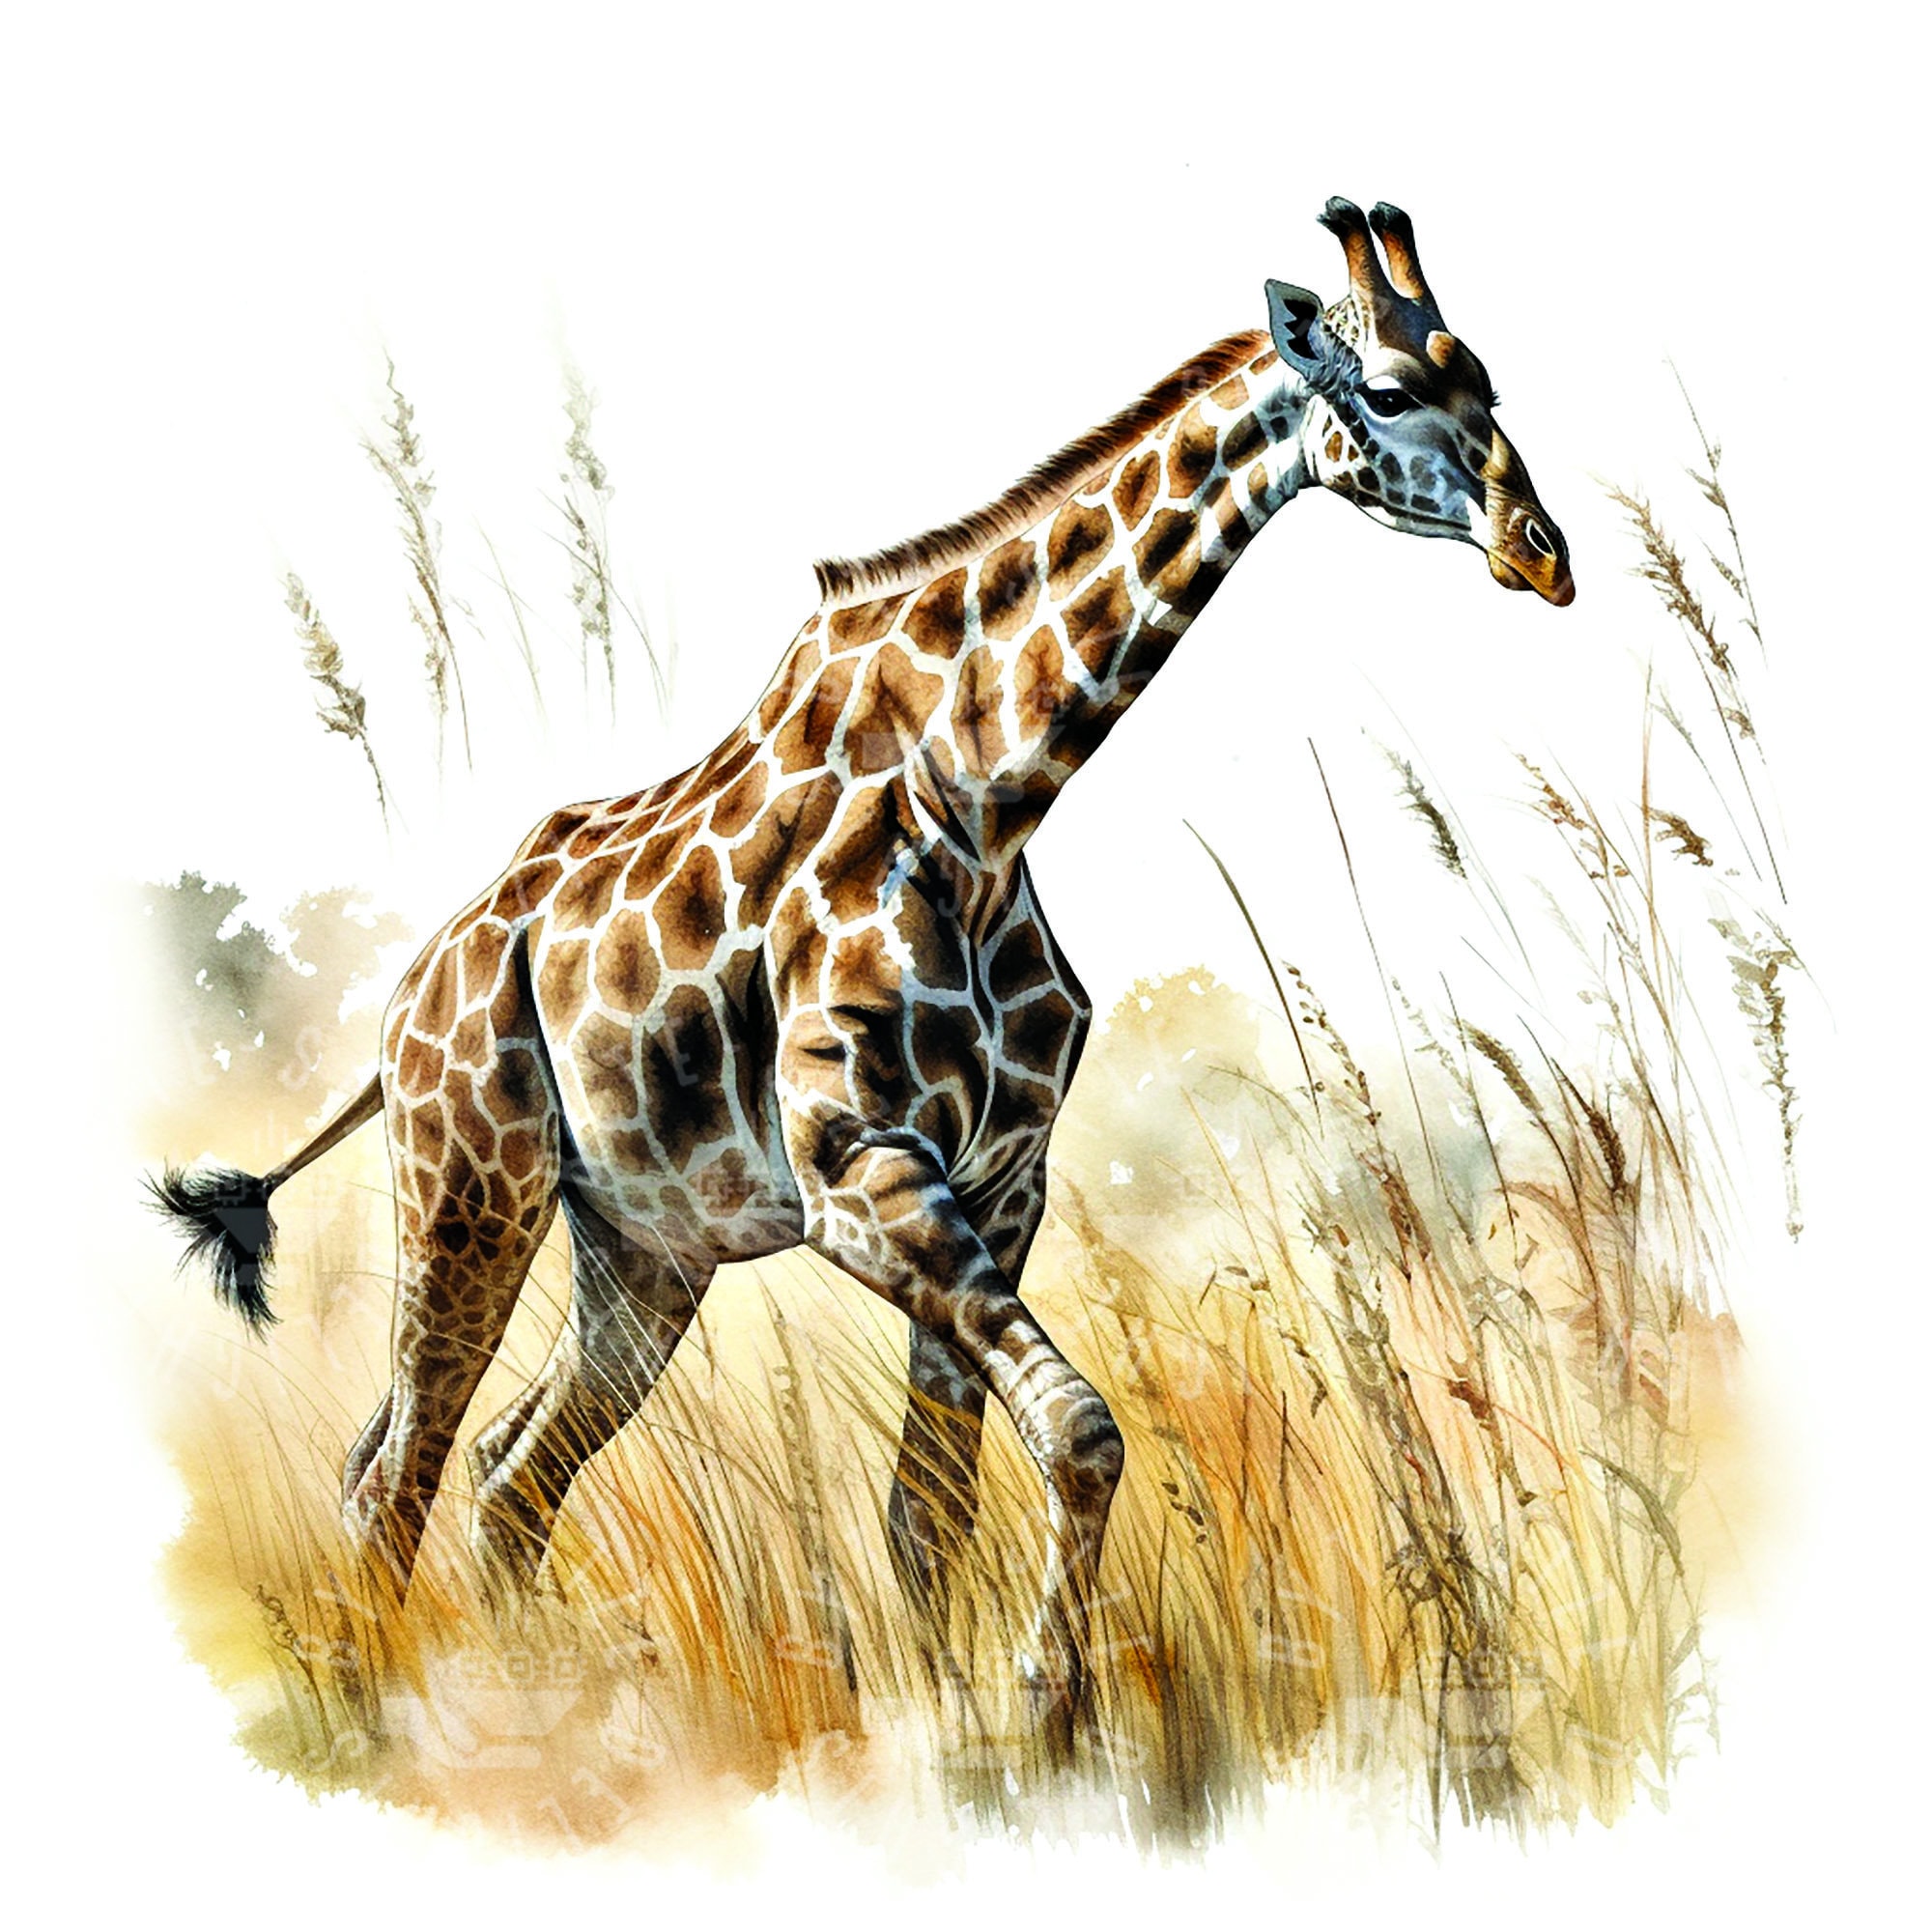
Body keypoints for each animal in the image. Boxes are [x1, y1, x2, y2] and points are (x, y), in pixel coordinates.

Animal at [153, 198, 1573, 1759]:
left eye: (1490, 381)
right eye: (1383, 391)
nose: (1544, 553)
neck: (990, 792)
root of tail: (405, 1008)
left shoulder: (1003, 1182)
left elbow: (930, 1516)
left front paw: (1009, 1733)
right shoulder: (859, 1172)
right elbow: (1077, 1433)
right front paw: (1040, 1705)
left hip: (643, 1250)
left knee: (505, 1473)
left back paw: (556, 1708)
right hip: (473, 1183)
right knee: (397, 1465)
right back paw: (392, 1730)